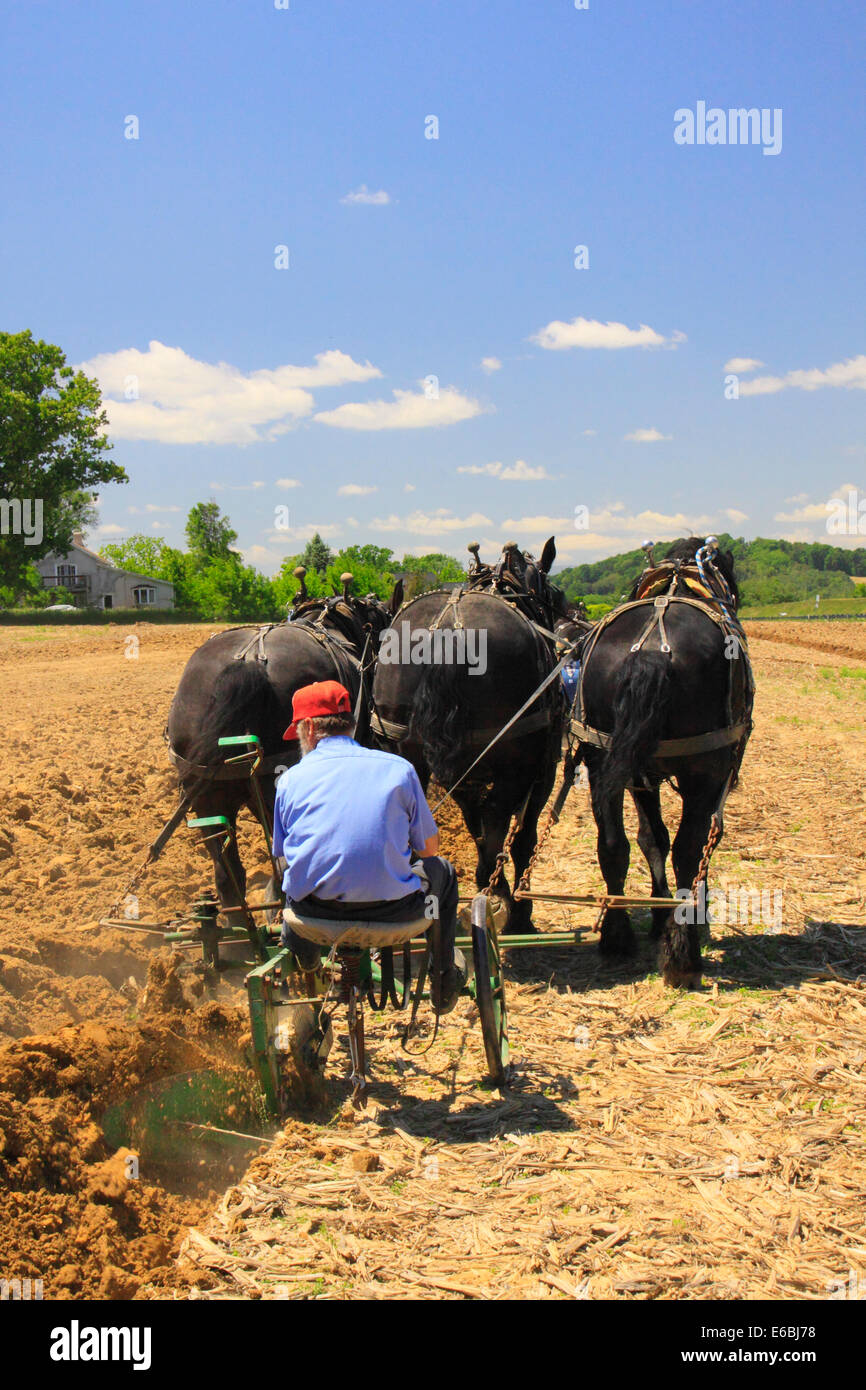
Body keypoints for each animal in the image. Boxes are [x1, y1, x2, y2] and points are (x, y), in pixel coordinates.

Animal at [370, 538, 570, 933]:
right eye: (553, 593)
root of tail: (448, 630)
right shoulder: (542, 771)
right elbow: (521, 836)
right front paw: (517, 907)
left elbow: (474, 825)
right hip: (516, 763)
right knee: (498, 820)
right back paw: (507, 903)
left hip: (406, 750)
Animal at [572, 537, 753, 987]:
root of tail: (651, 652)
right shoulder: (715, 777)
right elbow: (701, 842)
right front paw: (688, 920)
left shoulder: (641, 775)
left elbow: (652, 838)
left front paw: (658, 915)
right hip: (704, 771)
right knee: (690, 850)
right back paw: (683, 956)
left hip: (602, 760)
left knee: (612, 845)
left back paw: (616, 937)